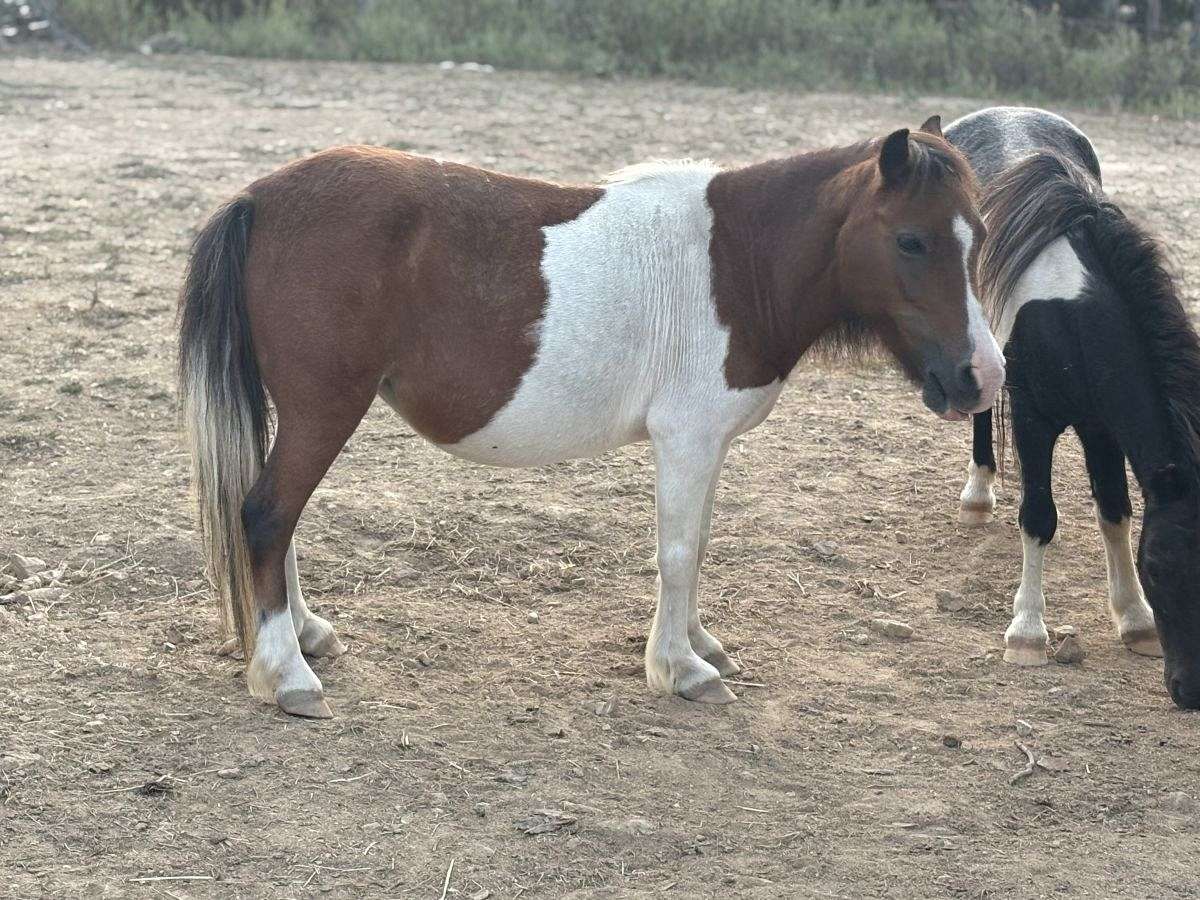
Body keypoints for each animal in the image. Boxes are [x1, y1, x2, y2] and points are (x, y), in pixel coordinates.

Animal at [179, 116, 1004, 718]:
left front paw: (699, 642)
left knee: (277, 517)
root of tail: (260, 198)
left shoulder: (706, 445)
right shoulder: (685, 440)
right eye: (911, 239)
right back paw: (284, 673)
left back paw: (303, 635)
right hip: (325, 409)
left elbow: (699, 542)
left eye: (981, 235)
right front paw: (679, 669)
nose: (982, 377)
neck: (737, 261)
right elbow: (678, 552)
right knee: (267, 514)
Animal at [945, 107, 1200, 708]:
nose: (1191, 692)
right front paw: (1027, 633)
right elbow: (1039, 517)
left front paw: (1135, 621)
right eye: (1162, 566)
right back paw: (977, 493)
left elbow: (1115, 511)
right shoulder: (1035, 420)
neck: (1073, 312)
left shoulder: (1101, 426)